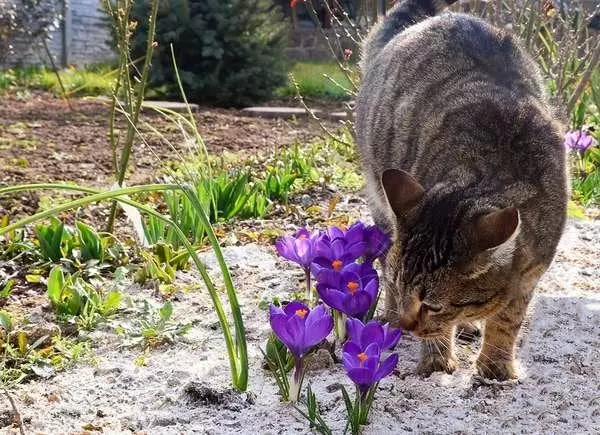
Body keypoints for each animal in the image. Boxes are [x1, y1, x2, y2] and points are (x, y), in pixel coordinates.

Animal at [356, 0, 568, 380]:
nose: (406, 325)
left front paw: (495, 367)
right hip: (380, 200)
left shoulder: (530, 274)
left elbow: (508, 320)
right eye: (401, 287)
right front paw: (437, 360)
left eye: (432, 304)